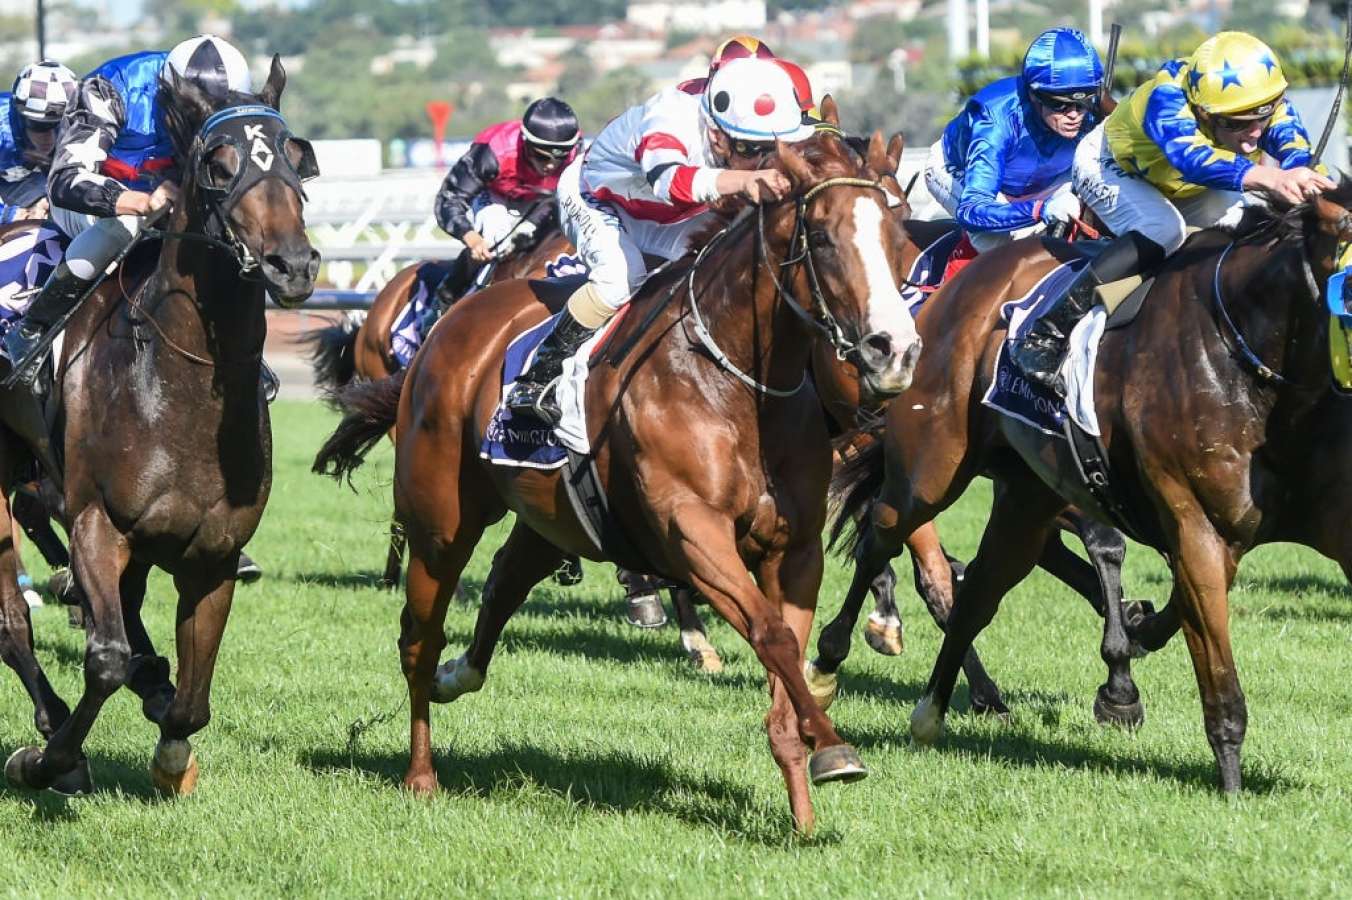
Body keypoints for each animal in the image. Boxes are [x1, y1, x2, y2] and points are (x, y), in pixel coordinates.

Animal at [1, 58, 318, 795]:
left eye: (297, 159)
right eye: (218, 165)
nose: (293, 265)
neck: (177, 387)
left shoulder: (215, 552)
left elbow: (193, 700)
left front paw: (172, 747)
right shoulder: (95, 521)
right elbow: (104, 658)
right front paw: (50, 759)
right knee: (12, 622)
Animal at [314, 129, 922, 832]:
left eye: (900, 228)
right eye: (821, 236)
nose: (895, 350)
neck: (735, 383)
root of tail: (455, 321)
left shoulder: (792, 550)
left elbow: (784, 653)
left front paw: (806, 798)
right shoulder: (692, 532)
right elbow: (769, 633)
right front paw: (834, 743)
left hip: (551, 521)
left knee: (503, 582)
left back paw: (458, 676)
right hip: (441, 525)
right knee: (420, 635)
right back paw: (420, 772)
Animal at [832, 182, 1352, 792]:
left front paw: (1132, 648)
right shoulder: (1195, 526)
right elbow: (1215, 668)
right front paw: (1229, 785)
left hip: (1026, 498)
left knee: (977, 592)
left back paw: (936, 711)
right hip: (929, 472)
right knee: (881, 539)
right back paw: (829, 658)